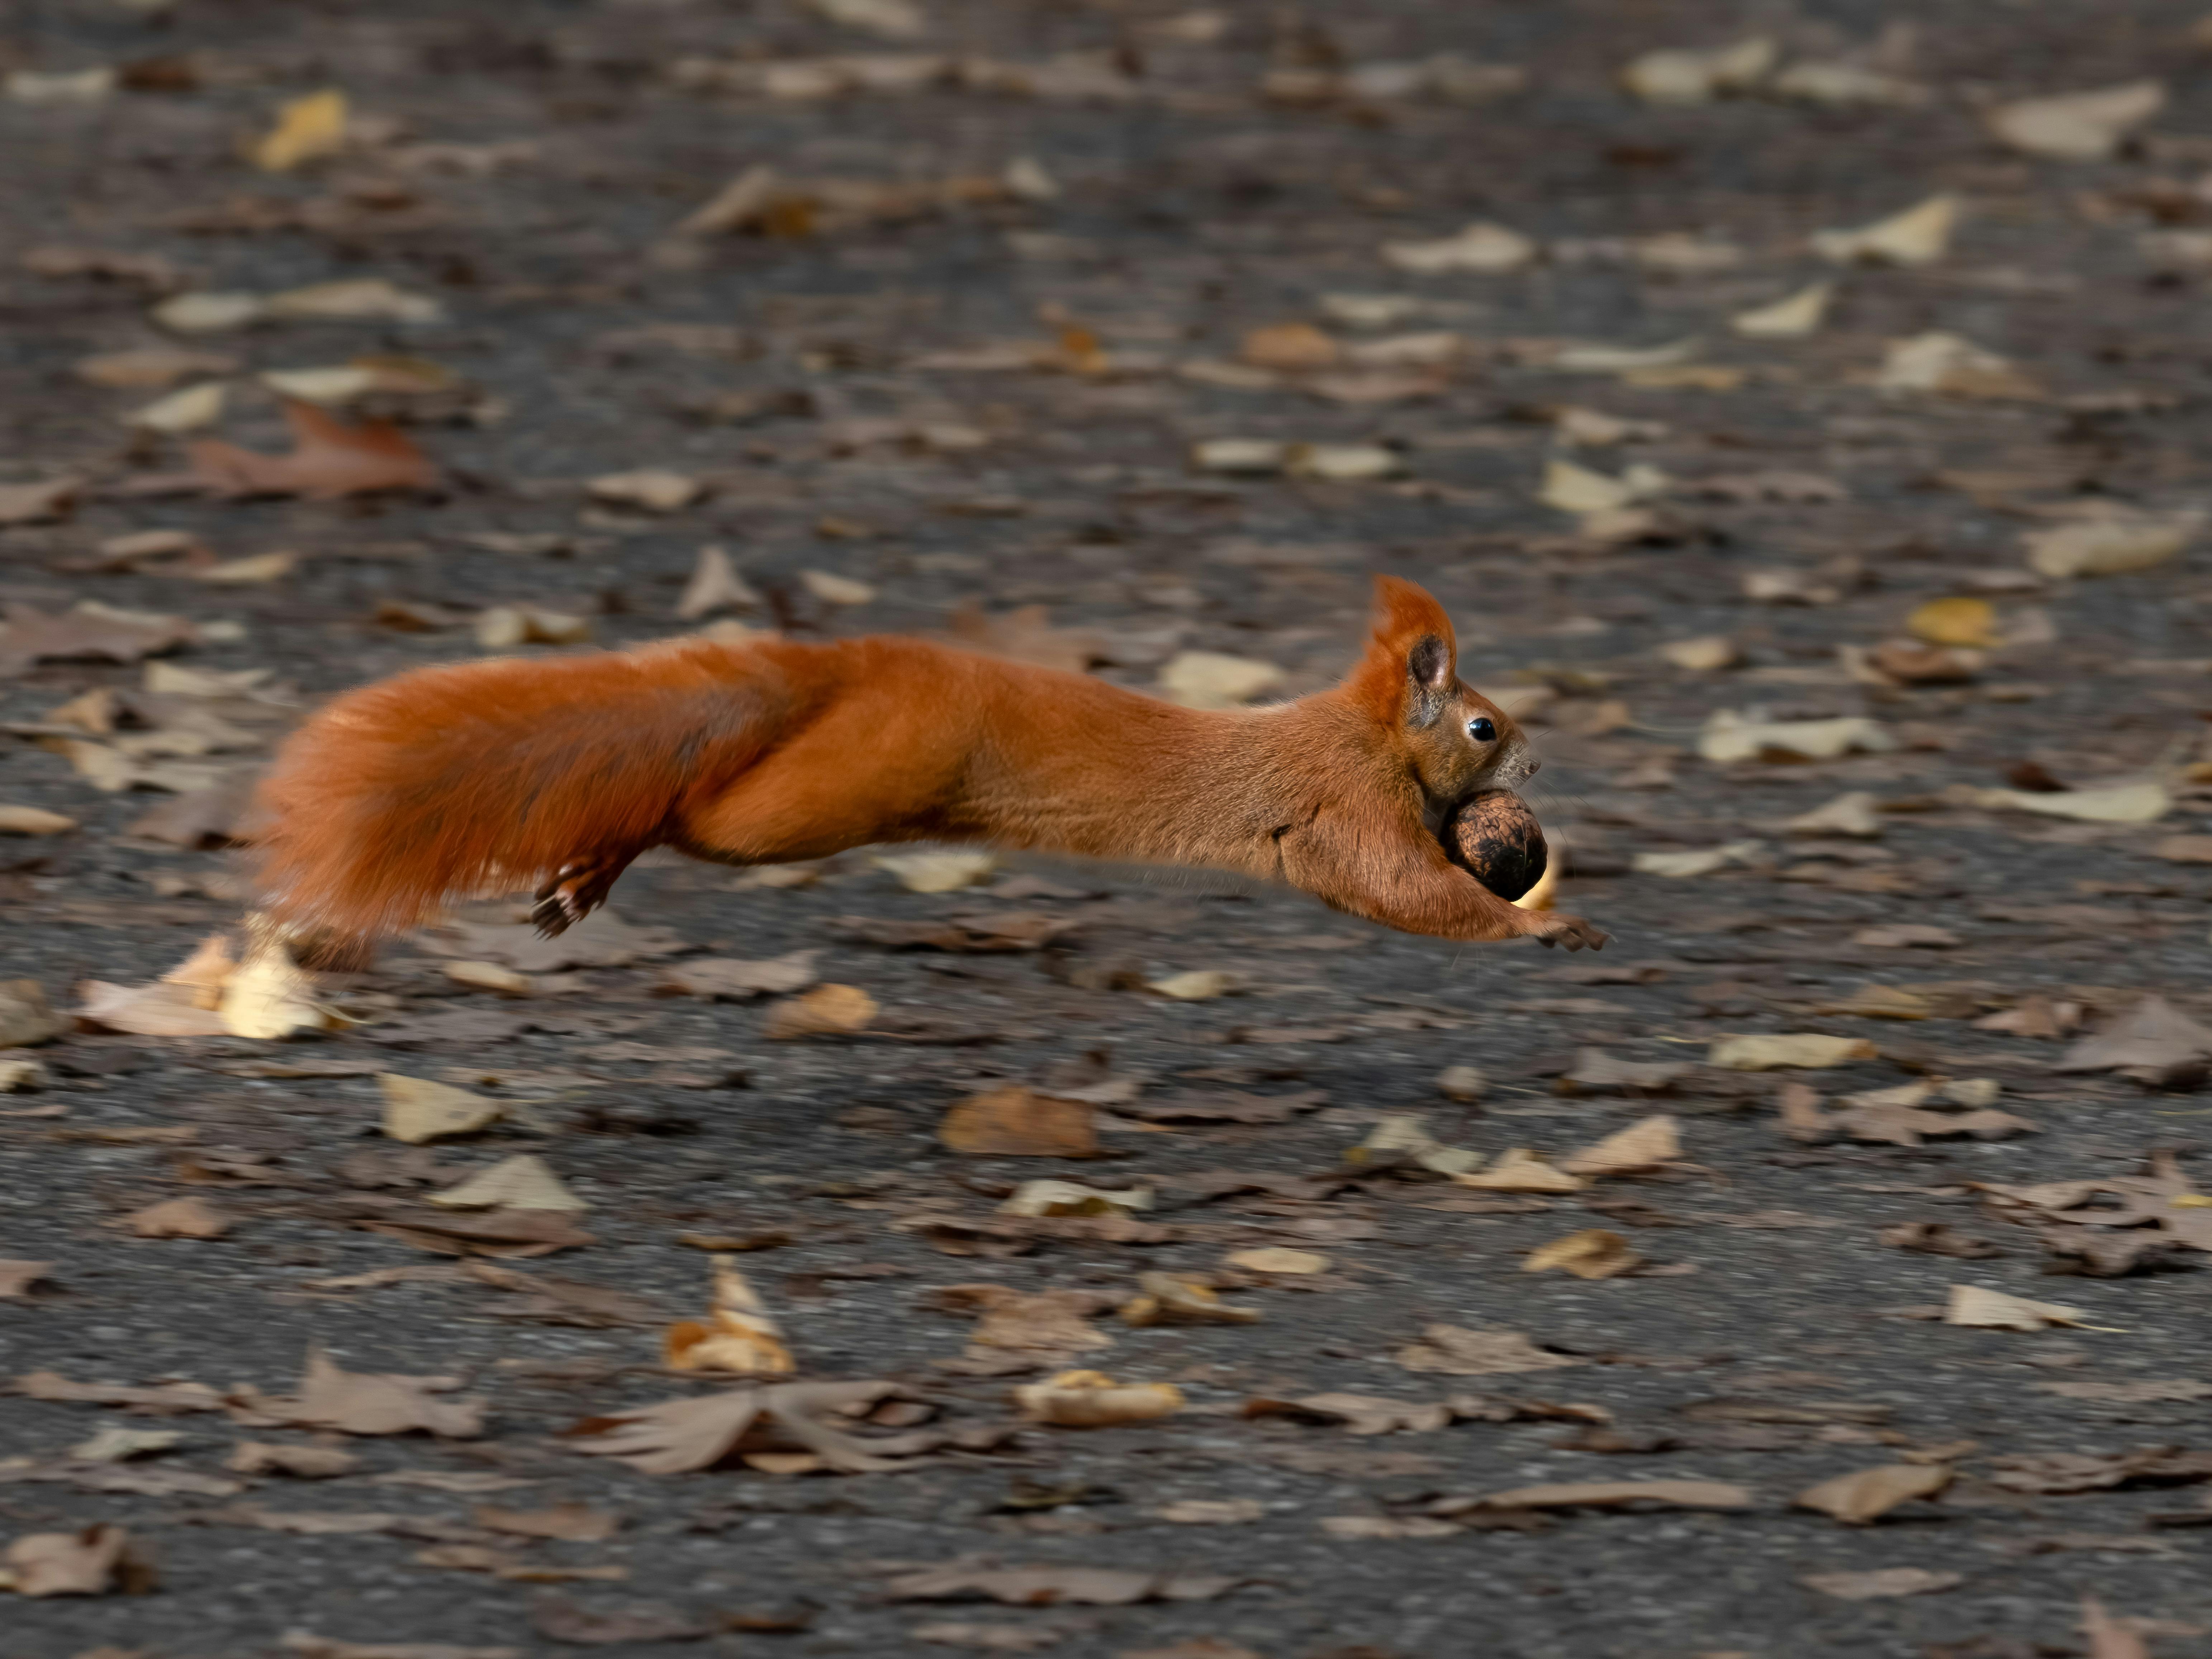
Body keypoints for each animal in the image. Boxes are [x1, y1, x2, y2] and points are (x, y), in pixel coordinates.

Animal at [249, 575, 1607, 953]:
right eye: (1482, 726)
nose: (1540, 761)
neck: (1357, 731)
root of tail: (846, 672)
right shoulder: (1345, 809)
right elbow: (1402, 890)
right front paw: (1545, 923)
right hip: (821, 796)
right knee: (694, 813)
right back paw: (600, 863)